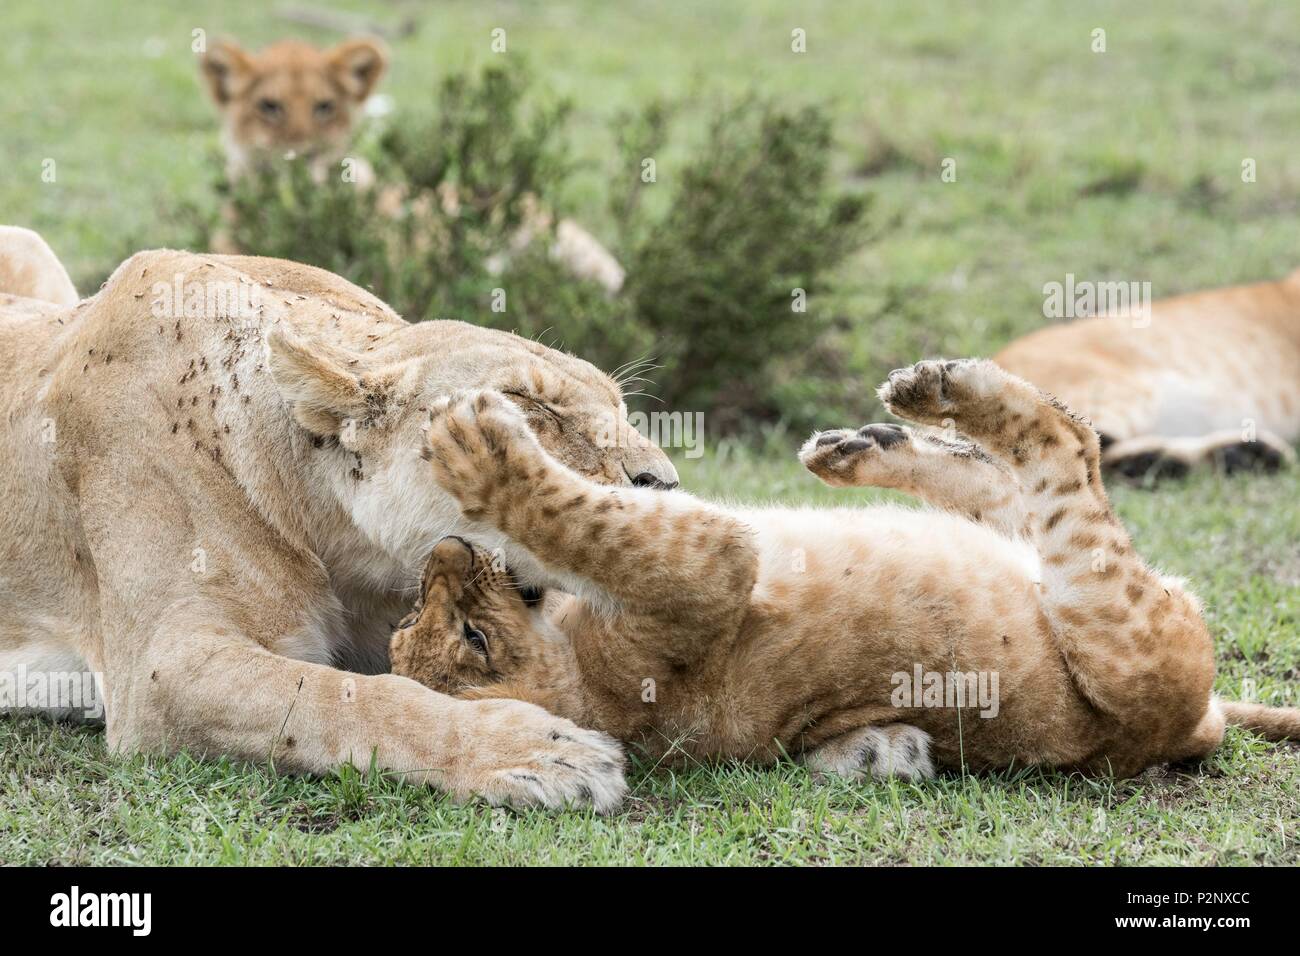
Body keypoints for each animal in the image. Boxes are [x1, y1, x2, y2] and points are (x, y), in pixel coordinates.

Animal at [0, 227, 679, 811]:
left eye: (620, 406)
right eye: (532, 404)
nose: (667, 484)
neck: (346, 549)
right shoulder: (158, 673)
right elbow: (350, 699)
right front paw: (538, 752)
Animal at [391, 360, 1299, 779]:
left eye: (409, 626)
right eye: (470, 639)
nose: (442, 556)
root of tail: (1193, 724)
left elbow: (590, 508)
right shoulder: (707, 569)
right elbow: (584, 517)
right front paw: (477, 452)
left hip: (1034, 561)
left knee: (1012, 487)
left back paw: (872, 437)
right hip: (1107, 621)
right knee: (1065, 453)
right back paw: (936, 400)